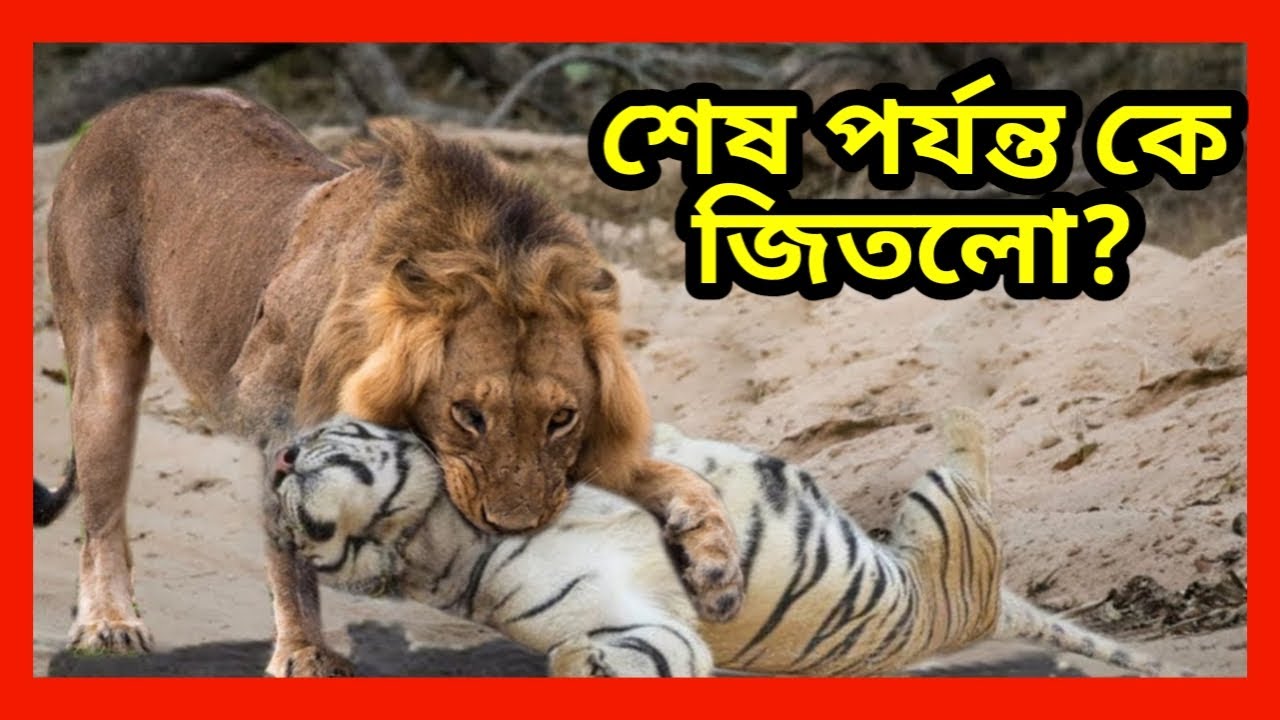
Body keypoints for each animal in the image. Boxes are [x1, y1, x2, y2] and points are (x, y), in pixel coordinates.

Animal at [40, 87, 743, 676]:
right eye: (468, 414)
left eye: (561, 418)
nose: (514, 527)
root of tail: (122, 108)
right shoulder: (281, 426)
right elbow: (289, 556)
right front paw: (305, 656)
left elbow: (682, 478)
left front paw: (717, 567)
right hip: (103, 362)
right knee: (101, 515)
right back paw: (108, 624)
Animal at [263, 408, 1188, 677]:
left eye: (319, 432)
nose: (278, 458)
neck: (426, 526)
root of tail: (988, 611)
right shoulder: (635, 622)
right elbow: (607, 652)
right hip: (940, 500)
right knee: (971, 456)